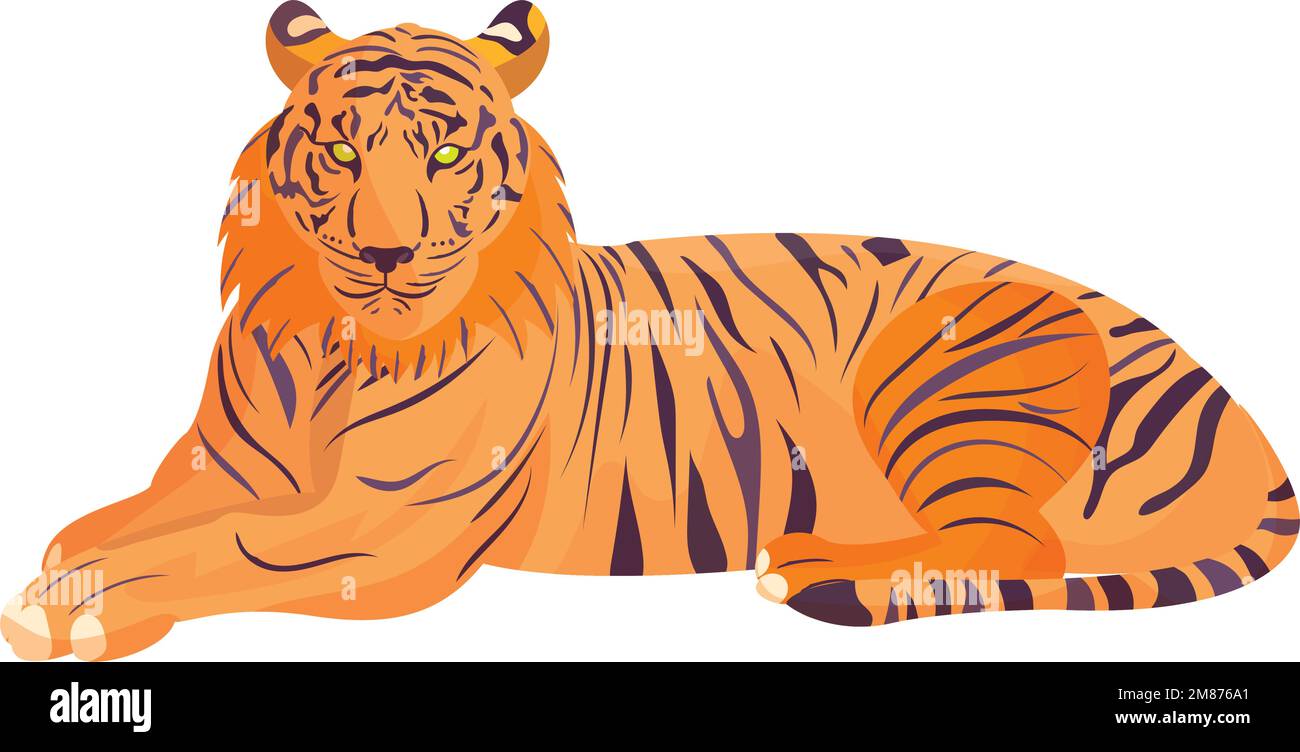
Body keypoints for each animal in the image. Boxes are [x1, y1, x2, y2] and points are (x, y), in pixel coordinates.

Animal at [3, 1, 1294, 661]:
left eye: (446, 151)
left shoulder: (378, 522)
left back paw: (814, 571)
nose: (384, 257)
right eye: (338, 151)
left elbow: (216, 551)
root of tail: (1205, 374)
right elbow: (104, 521)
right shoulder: (216, 469)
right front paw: (66, 574)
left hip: (949, 375)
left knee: (1014, 547)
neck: (332, 343)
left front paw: (69, 609)